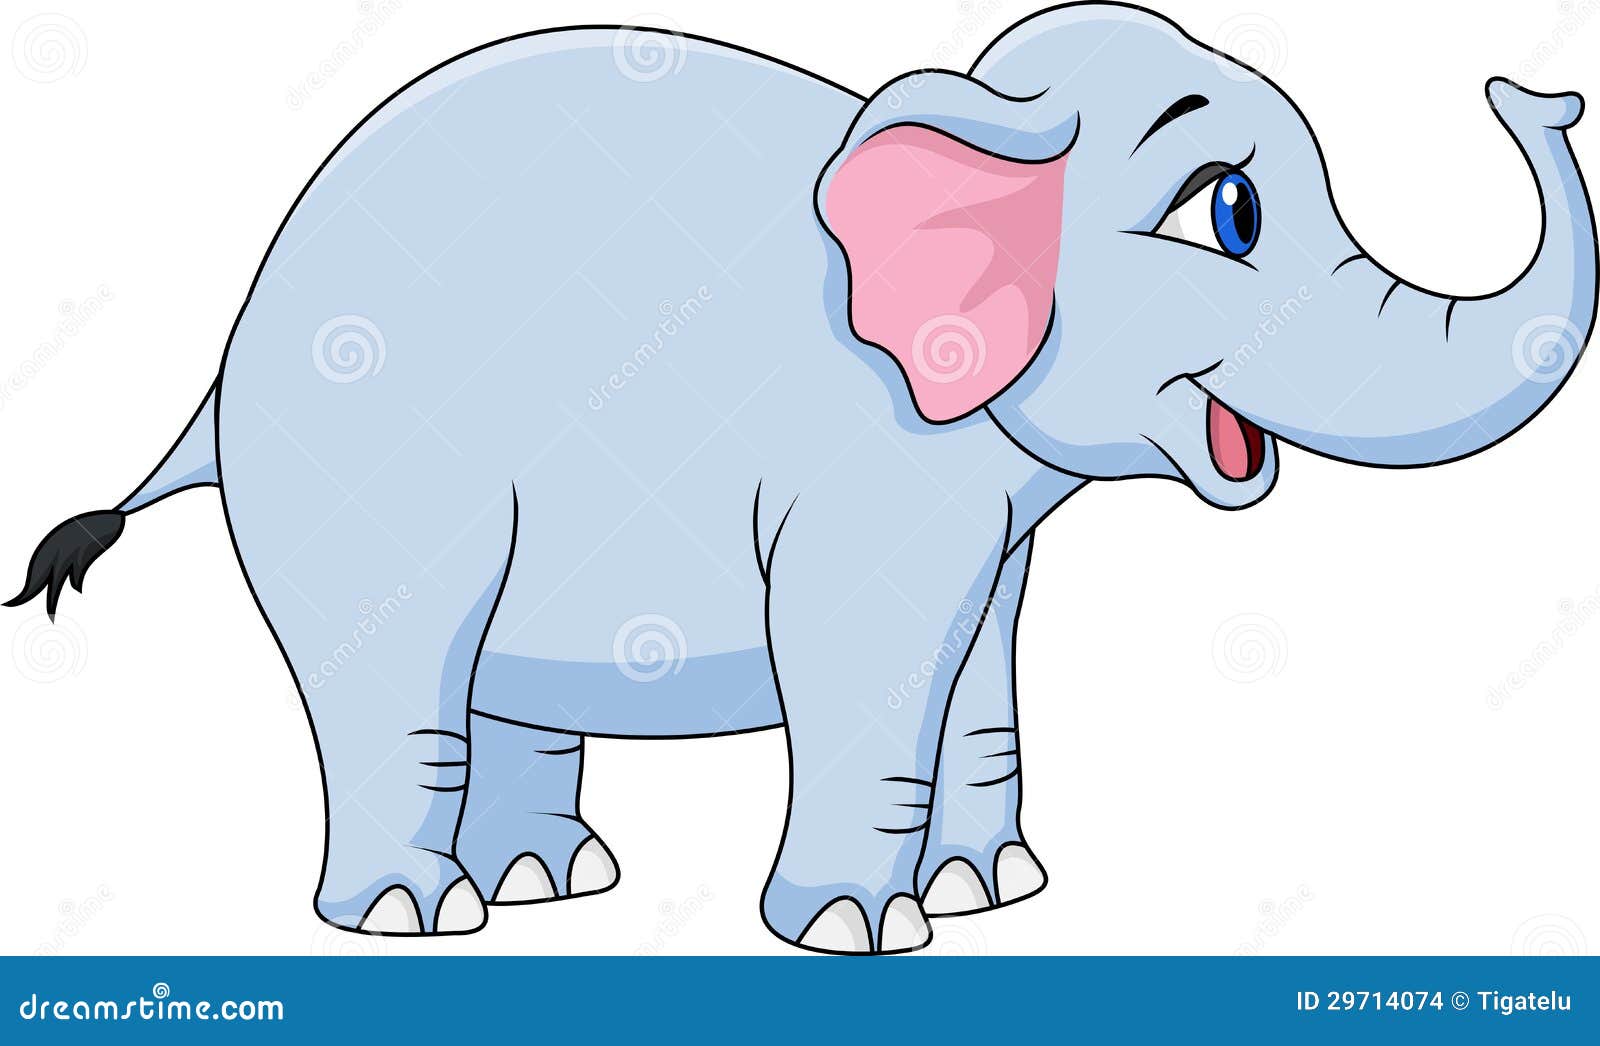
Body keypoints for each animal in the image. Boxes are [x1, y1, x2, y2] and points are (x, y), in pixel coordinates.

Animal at [8, 3, 1595, 954]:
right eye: (1233, 213)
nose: (1539, 86)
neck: (986, 102)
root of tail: (224, 367)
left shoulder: (996, 499)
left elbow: (980, 662)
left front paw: (989, 894)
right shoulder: (877, 469)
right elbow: (871, 655)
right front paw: (856, 932)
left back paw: (549, 883)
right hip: (369, 467)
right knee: (402, 660)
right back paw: (416, 914)